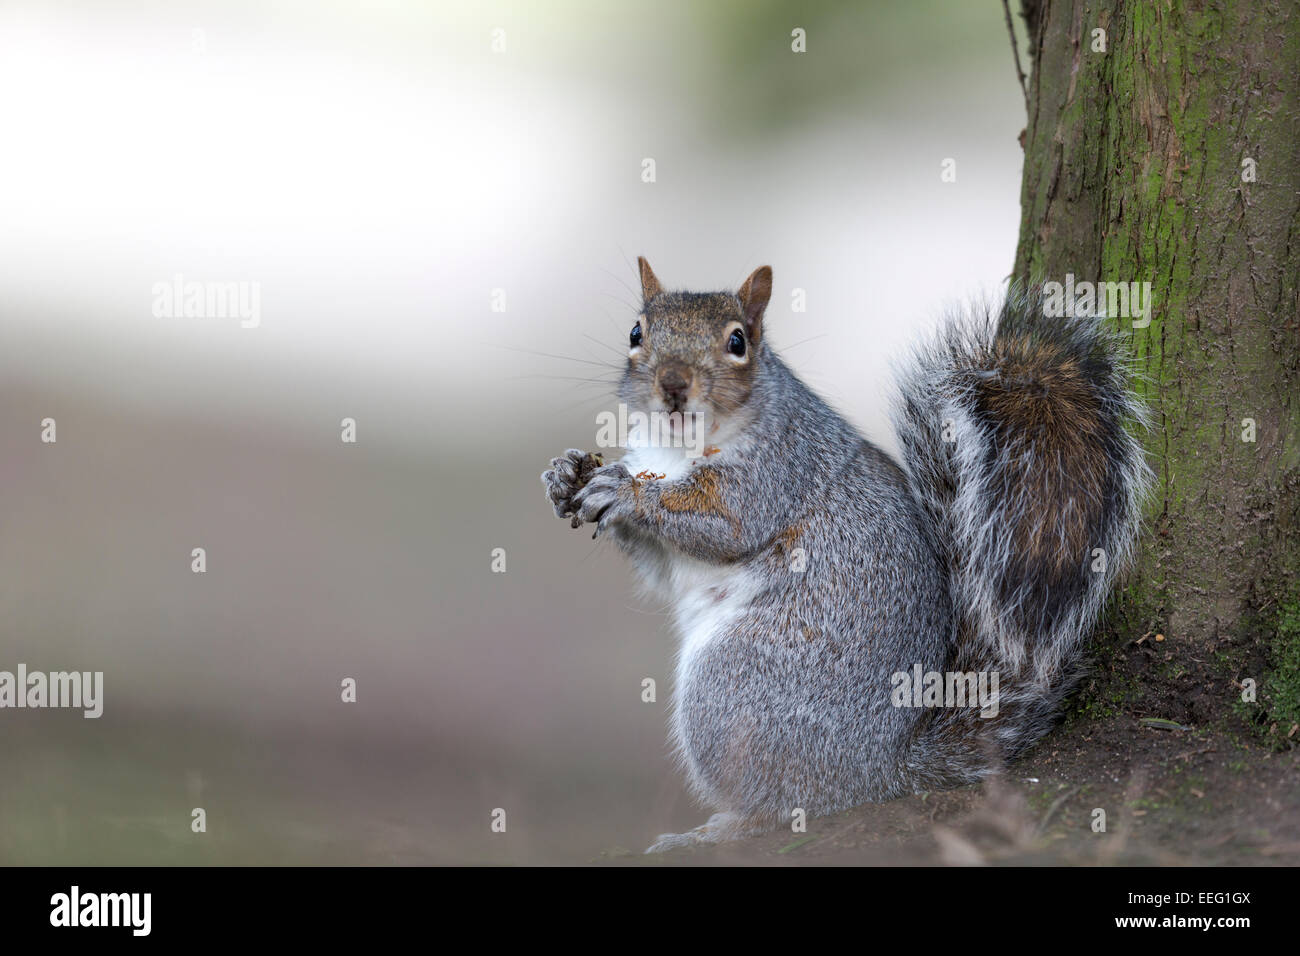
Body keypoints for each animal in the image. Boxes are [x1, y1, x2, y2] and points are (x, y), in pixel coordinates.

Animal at [541, 257, 1151, 853]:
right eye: (636, 332)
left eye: (738, 341)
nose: (673, 384)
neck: (677, 446)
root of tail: (883, 769)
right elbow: (661, 569)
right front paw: (567, 474)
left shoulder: (777, 471)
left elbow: (726, 526)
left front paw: (627, 493)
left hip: (733, 687)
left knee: (786, 804)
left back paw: (720, 829)